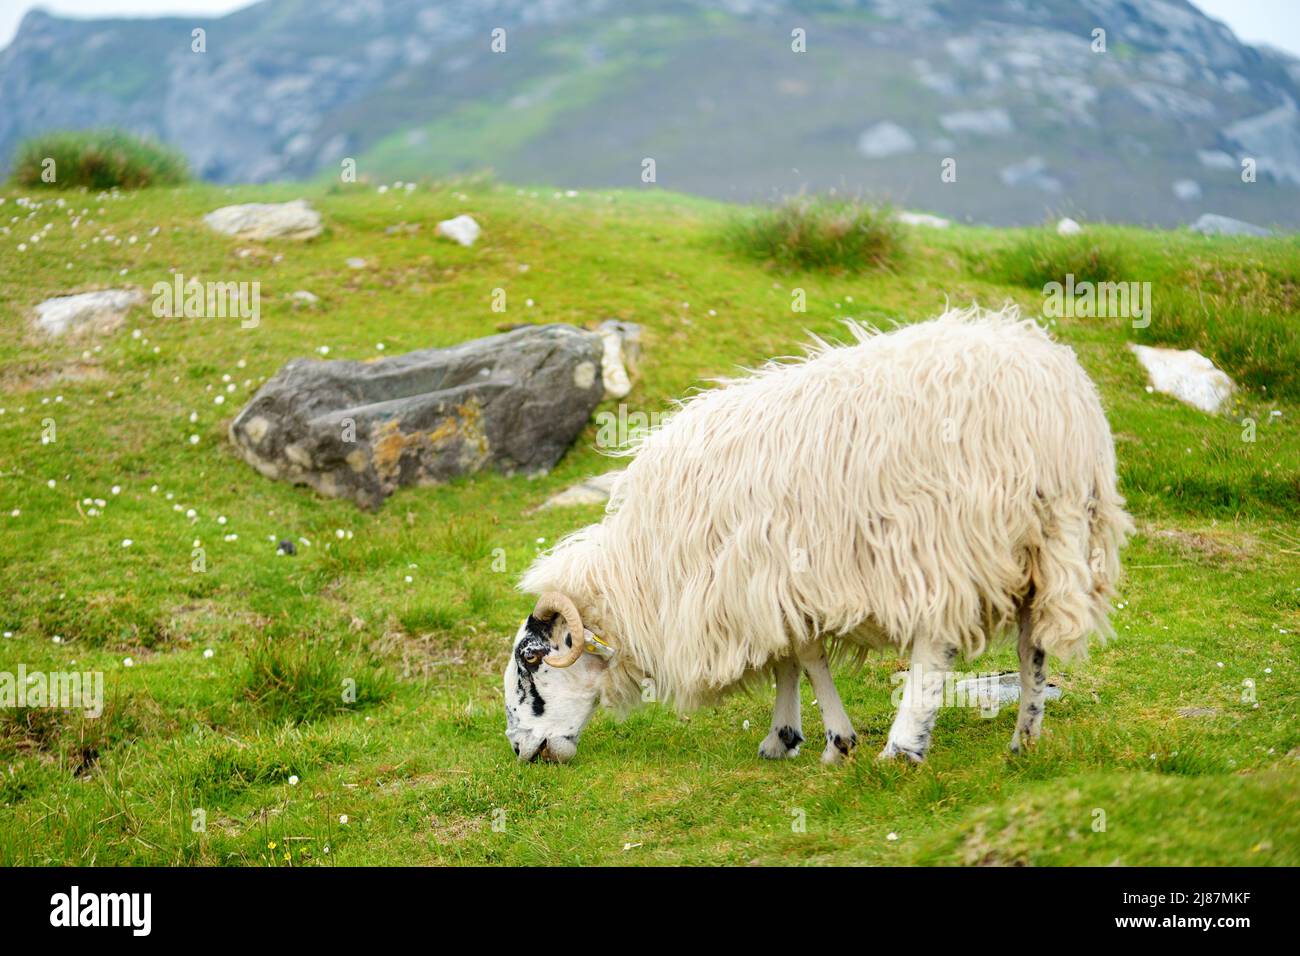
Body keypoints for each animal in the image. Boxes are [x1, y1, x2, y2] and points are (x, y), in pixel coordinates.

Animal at [503, 305, 1132, 764]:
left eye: (531, 664)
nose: (519, 751)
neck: (642, 573)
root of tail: (1054, 411)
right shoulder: (758, 586)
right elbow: (787, 658)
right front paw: (784, 736)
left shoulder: (770, 577)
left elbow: (806, 656)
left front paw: (836, 741)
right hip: (1046, 545)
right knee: (1034, 645)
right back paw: (1024, 738)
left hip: (944, 539)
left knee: (935, 642)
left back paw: (903, 747)